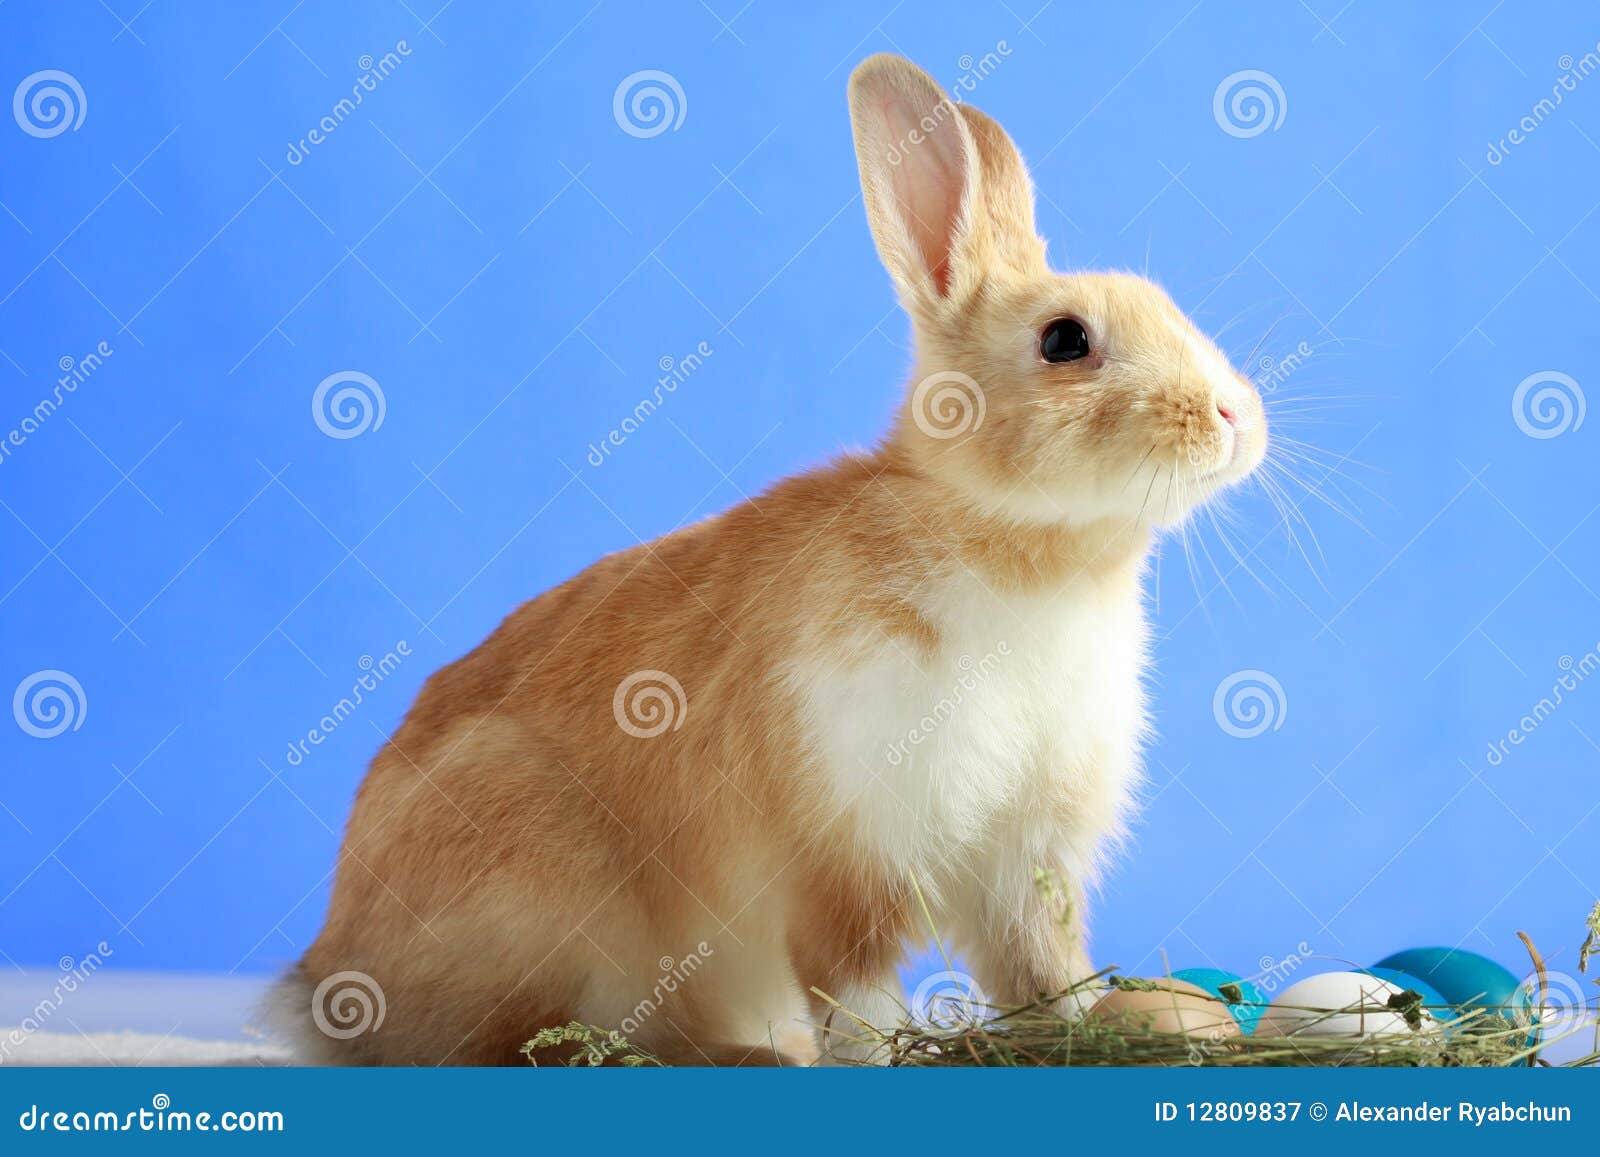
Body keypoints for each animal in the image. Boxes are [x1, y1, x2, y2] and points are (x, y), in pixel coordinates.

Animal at [272, 52, 1267, 1066]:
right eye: (1066, 339)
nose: (1234, 414)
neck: (1021, 546)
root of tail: (326, 975)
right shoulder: (843, 849)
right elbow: (855, 986)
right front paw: (876, 1060)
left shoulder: (1025, 857)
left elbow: (1041, 968)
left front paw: (1082, 1026)